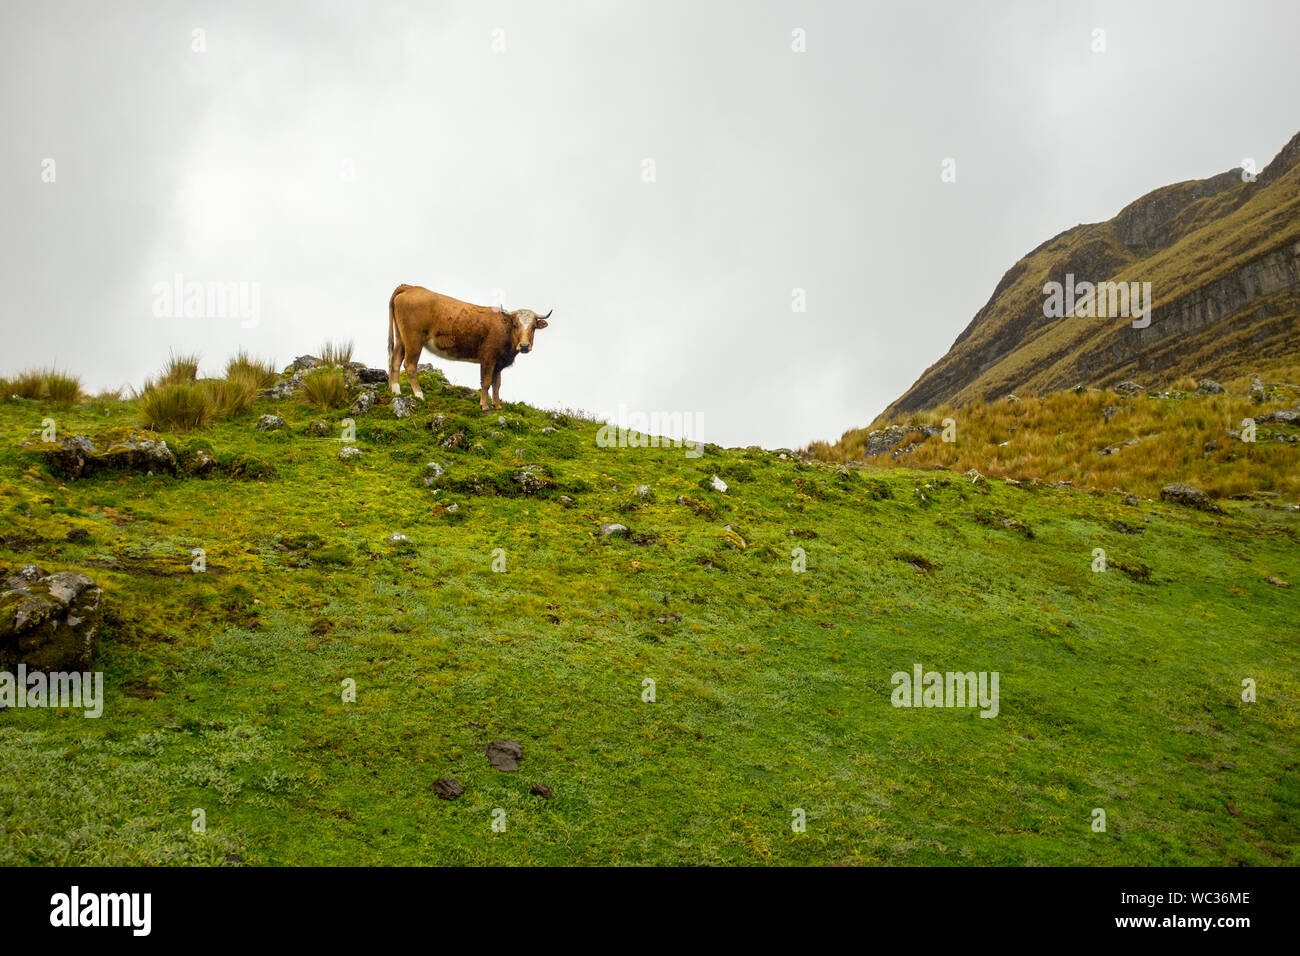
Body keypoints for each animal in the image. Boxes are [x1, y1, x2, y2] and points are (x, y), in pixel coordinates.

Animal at [387, 284, 551, 411]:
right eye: (515, 325)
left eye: (534, 327)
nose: (524, 345)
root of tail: (409, 287)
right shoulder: (488, 358)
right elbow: (486, 382)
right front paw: (484, 406)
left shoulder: (498, 362)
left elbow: (497, 384)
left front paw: (497, 406)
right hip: (414, 339)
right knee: (410, 365)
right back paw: (419, 395)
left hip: (401, 338)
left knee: (395, 361)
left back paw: (396, 392)